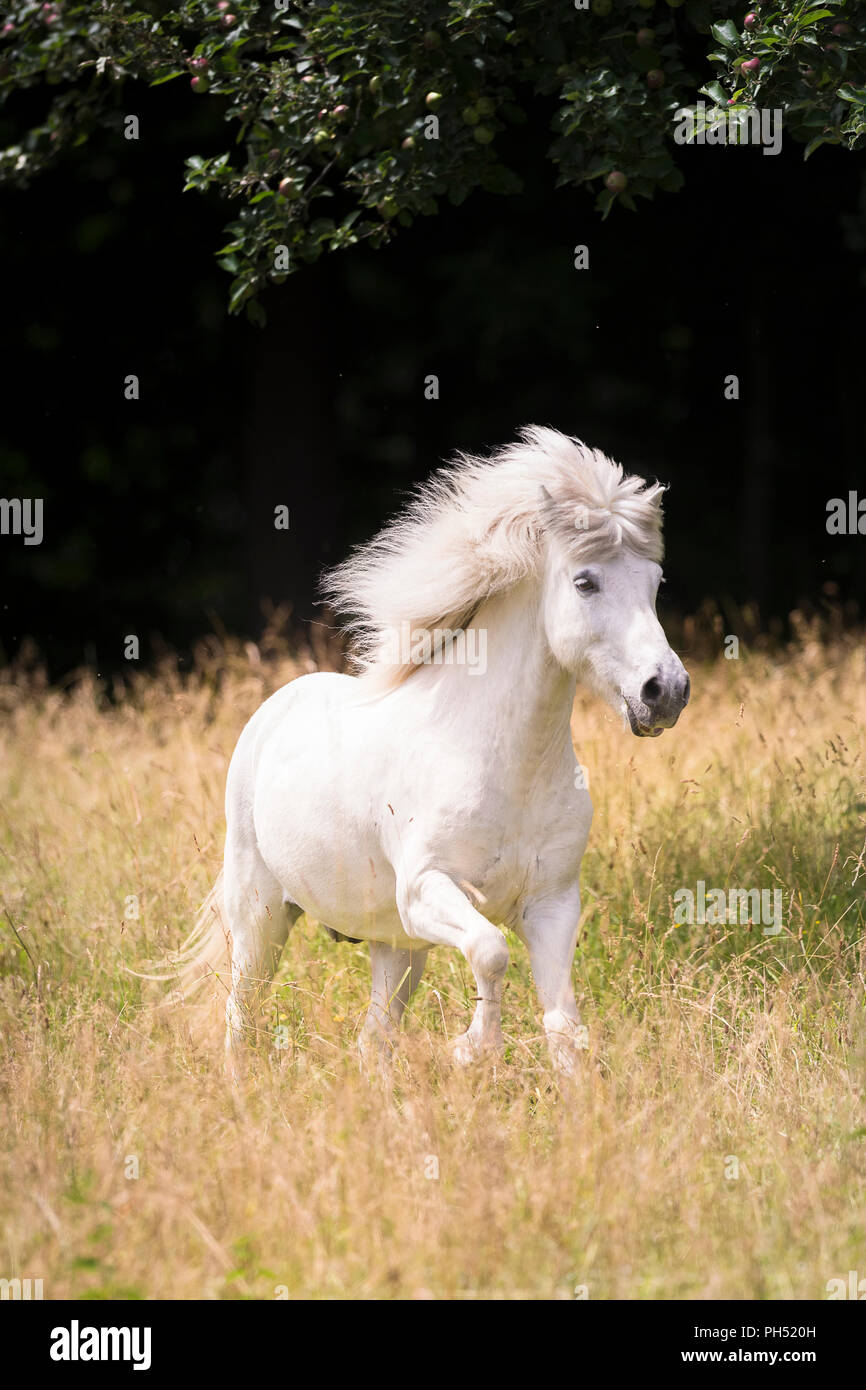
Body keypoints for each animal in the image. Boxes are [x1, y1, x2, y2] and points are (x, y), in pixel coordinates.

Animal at [179, 426, 690, 1072]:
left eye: (655, 584)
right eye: (585, 582)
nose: (665, 691)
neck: (507, 766)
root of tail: (272, 712)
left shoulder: (551, 904)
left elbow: (564, 1025)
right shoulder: (426, 889)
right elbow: (492, 951)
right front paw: (473, 1049)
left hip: (395, 945)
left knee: (371, 1041)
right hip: (261, 913)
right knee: (240, 1012)